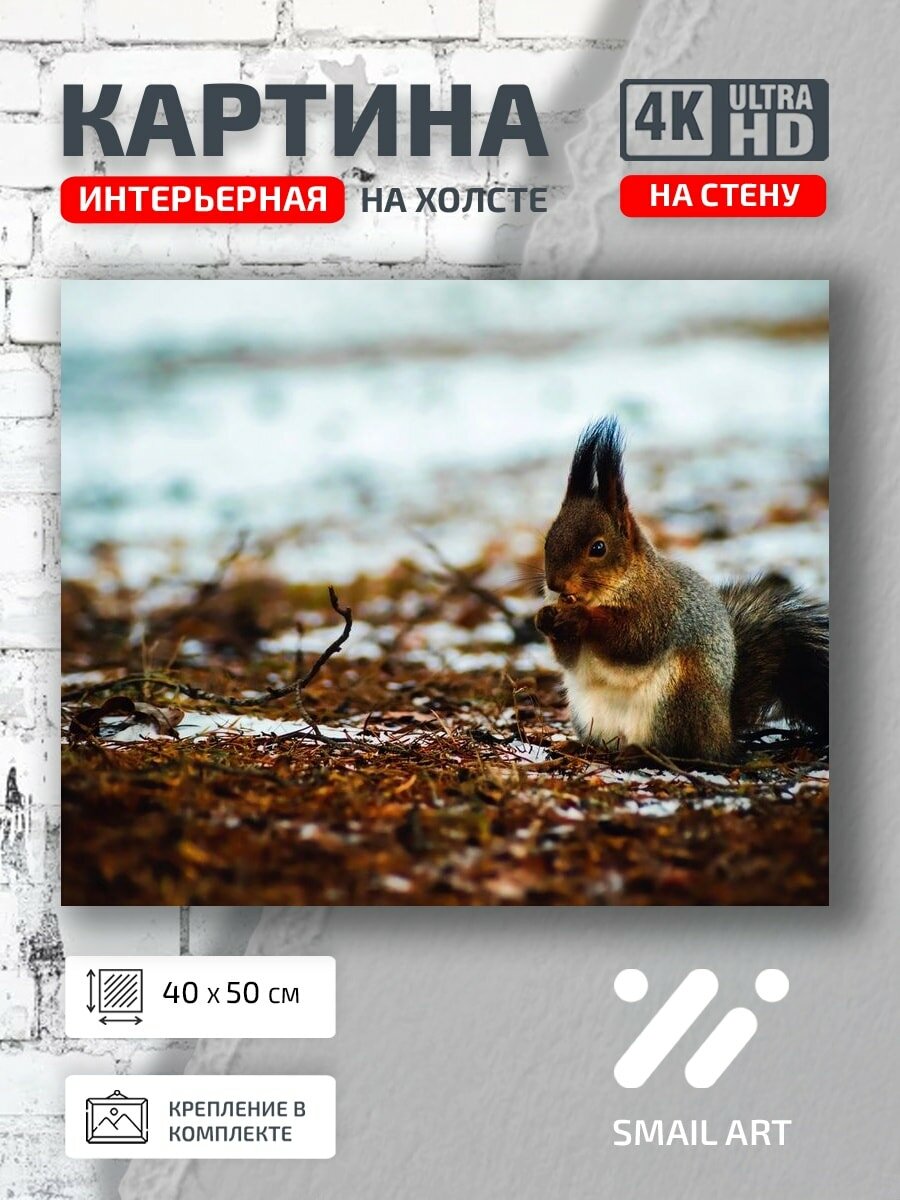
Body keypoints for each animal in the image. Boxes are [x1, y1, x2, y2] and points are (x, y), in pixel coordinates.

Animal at [534, 417, 828, 760]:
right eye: (548, 539)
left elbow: (633, 640)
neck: (615, 587)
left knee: (678, 748)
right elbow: (569, 659)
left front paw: (582, 617)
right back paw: (577, 745)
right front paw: (544, 617)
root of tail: (722, 732)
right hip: (587, 714)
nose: (555, 584)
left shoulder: (660, 609)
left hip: (679, 698)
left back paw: (640, 751)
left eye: (598, 548)